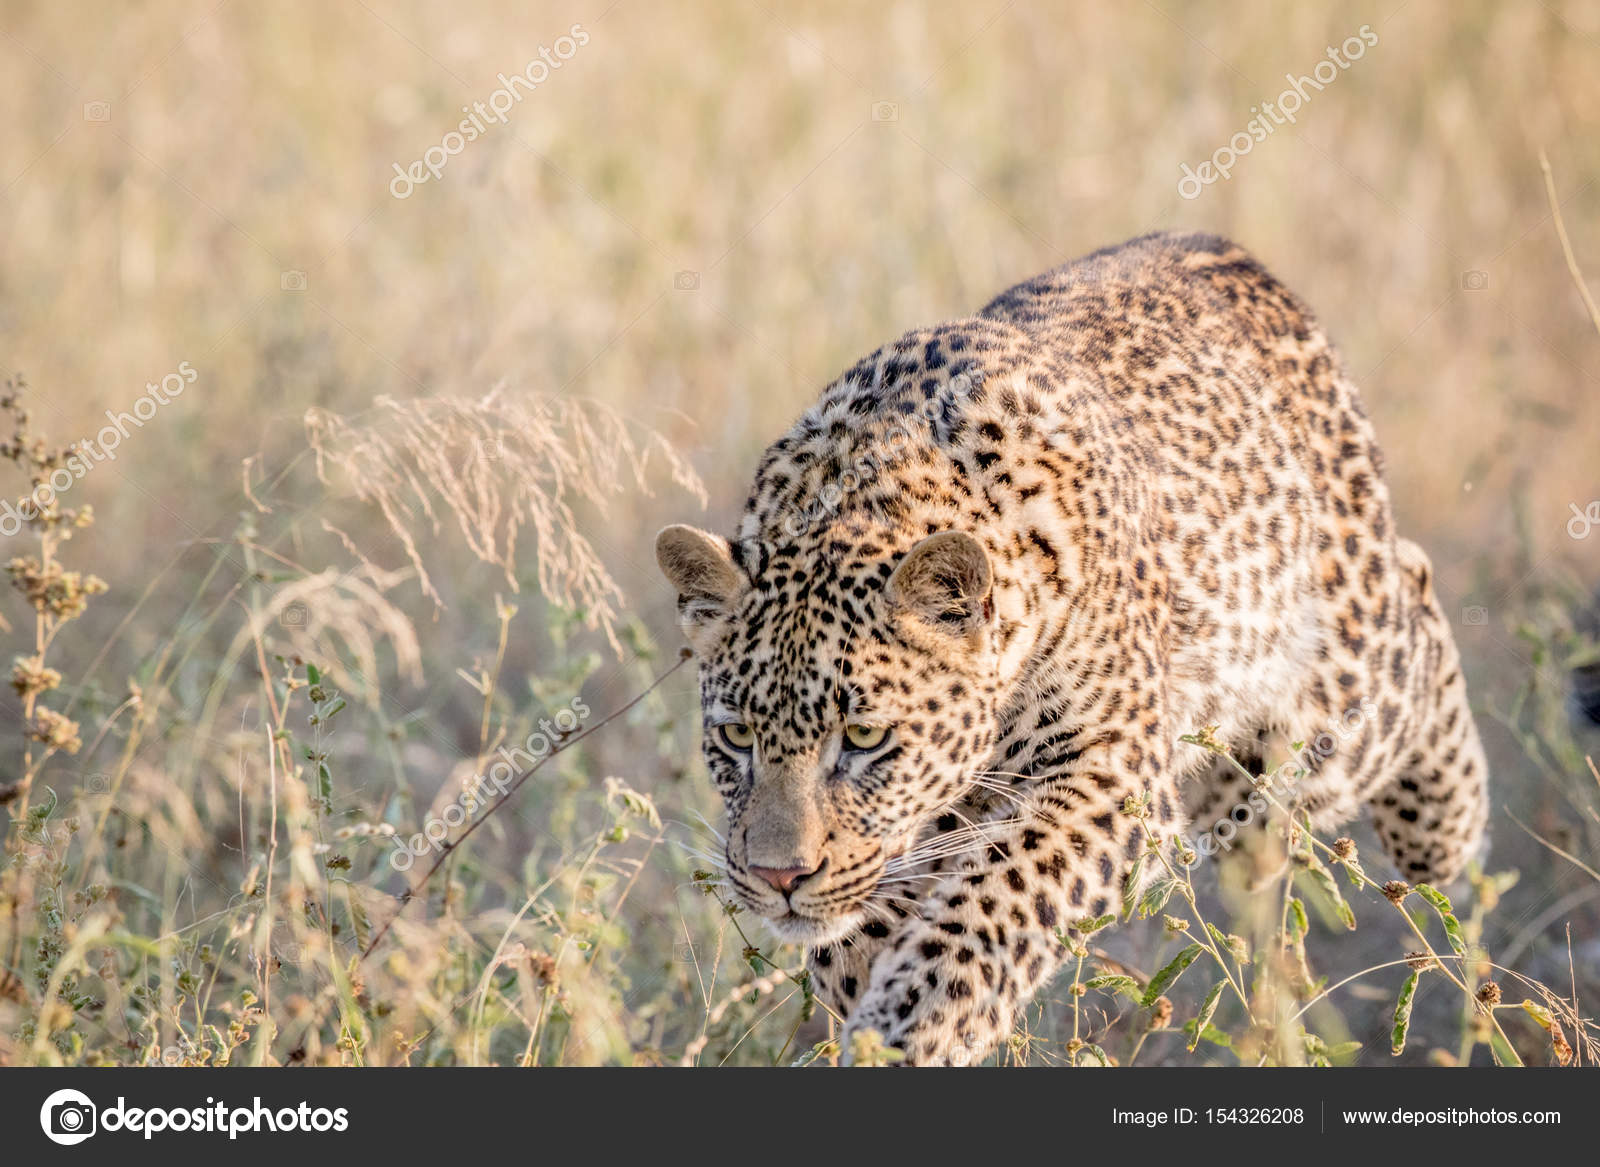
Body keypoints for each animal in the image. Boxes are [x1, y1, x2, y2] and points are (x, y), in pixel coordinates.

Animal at [655, 230, 1489, 1065]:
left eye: (863, 736)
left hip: (1331, 692)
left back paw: (1446, 841)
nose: (779, 876)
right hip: (1233, 767)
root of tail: (1221, 248)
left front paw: (912, 1027)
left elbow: (997, 897)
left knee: (1413, 603)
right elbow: (864, 923)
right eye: (736, 736)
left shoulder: (1108, 770)